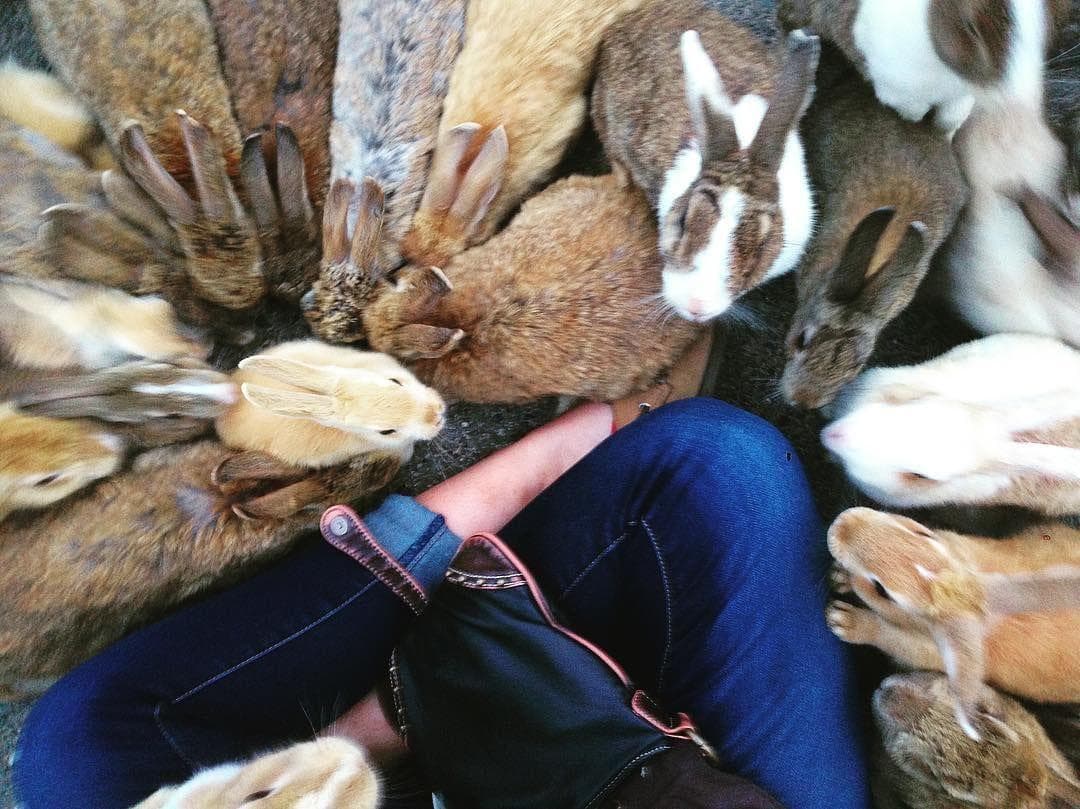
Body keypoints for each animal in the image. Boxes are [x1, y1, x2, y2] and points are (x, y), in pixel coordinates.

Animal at [776, 0, 1069, 133]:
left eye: (1044, 22)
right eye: (971, 28)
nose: (1018, 98)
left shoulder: (962, 97)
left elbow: (950, 120)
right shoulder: (897, 89)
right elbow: (915, 113)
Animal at [826, 507, 1080, 738]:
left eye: (881, 590)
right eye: (922, 533)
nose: (841, 524)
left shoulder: (920, 649)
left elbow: (885, 634)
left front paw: (843, 620)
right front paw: (840, 576)